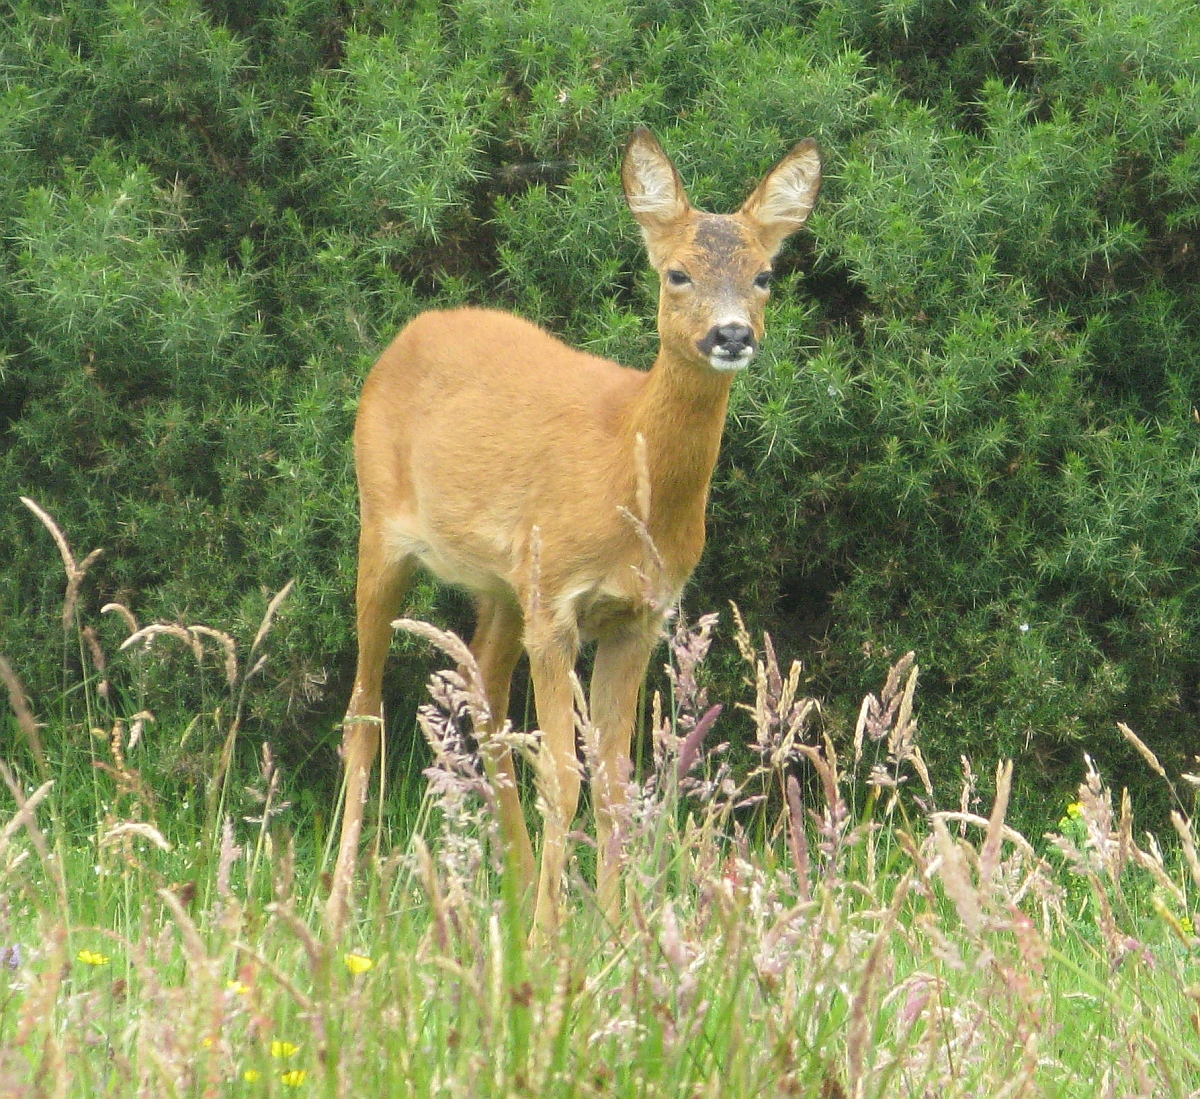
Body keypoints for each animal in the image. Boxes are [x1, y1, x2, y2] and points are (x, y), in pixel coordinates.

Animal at [327, 127, 822, 932]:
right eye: (677, 273)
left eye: (765, 275)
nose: (731, 334)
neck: (626, 473)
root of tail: (409, 334)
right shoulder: (558, 600)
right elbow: (562, 775)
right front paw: (555, 935)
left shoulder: (640, 614)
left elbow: (616, 779)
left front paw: (615, 929)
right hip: (382, 527)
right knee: (363, 715)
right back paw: (340, 904)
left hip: (504, 584)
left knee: (486, 701)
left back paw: (520, 885)